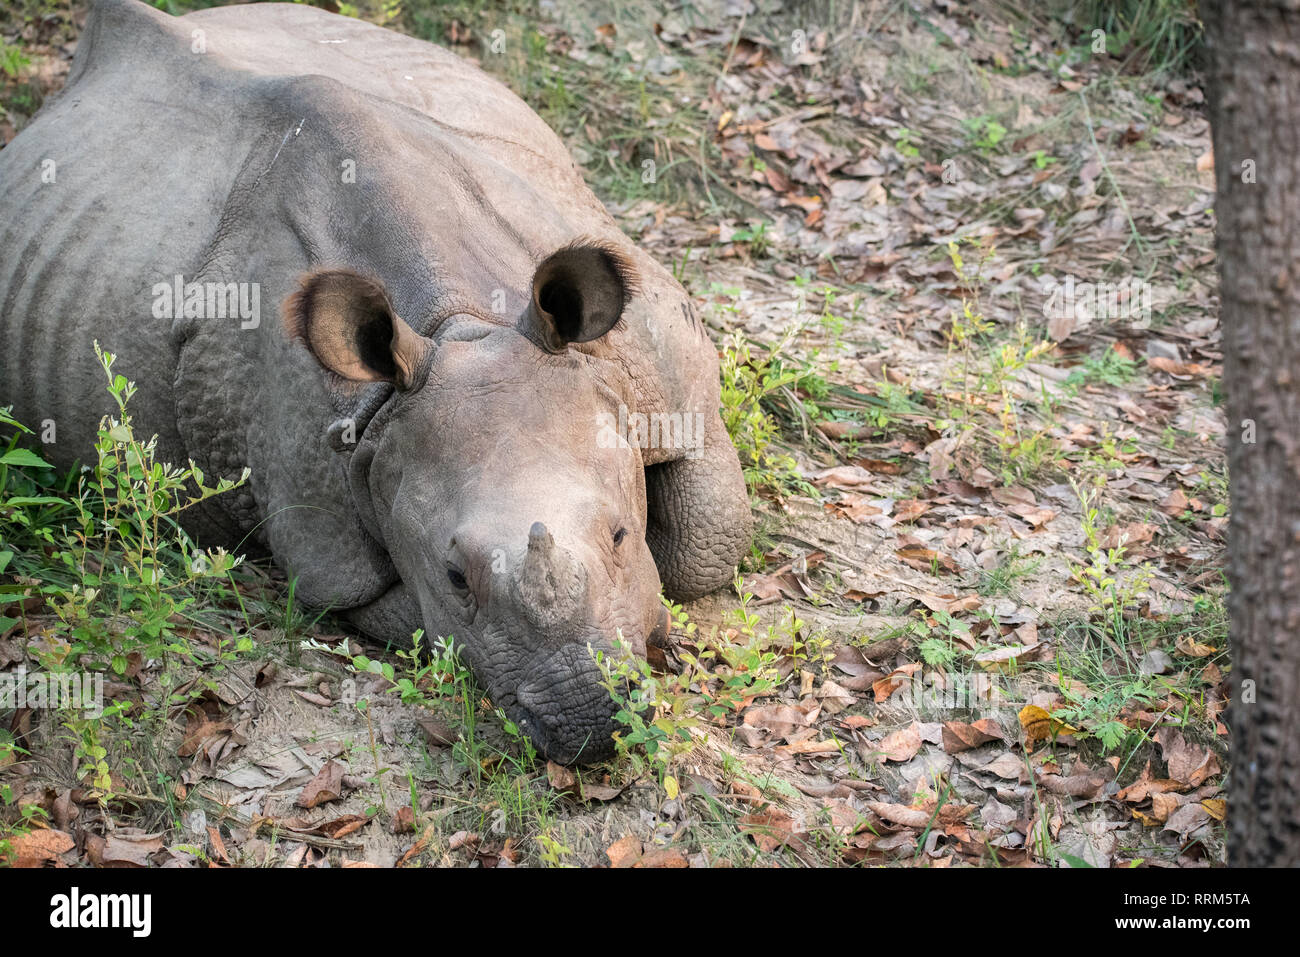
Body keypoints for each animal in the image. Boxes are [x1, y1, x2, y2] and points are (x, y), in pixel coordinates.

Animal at [0, 0, 751, 763]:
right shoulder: (324, 532)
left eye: (621, 535)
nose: (590, 725)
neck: (465, 325)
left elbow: (712, 537)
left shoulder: (663, 377)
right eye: (454, 577)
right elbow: (419, 623)